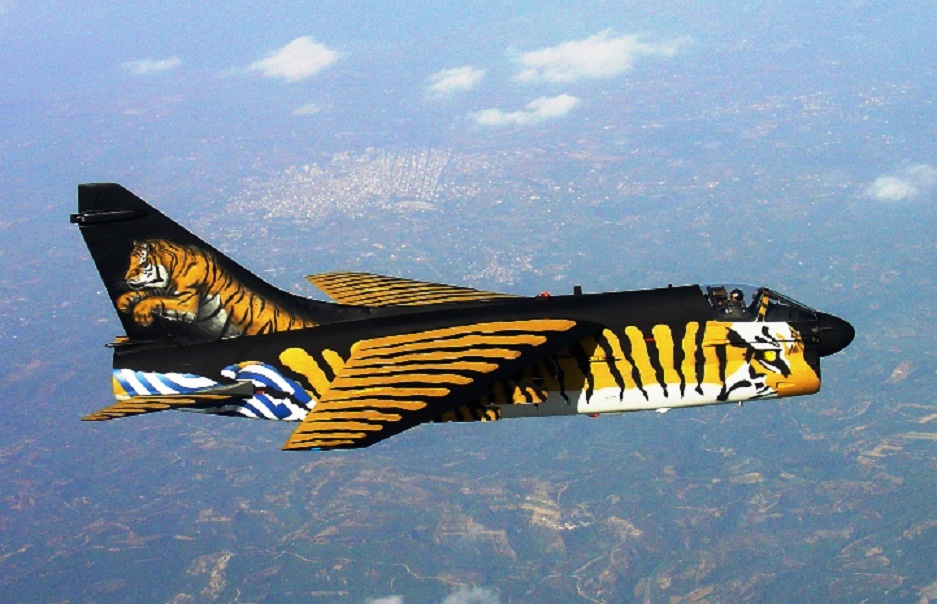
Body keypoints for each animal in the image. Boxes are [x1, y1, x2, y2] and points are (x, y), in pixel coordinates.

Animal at [115, 239, 318, 339]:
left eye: (142, 264)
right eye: (130, 262)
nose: (126, 279)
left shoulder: (187, 304)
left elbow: (154, 297)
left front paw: (140, 310)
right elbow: (150, 293)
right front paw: (126, 300)